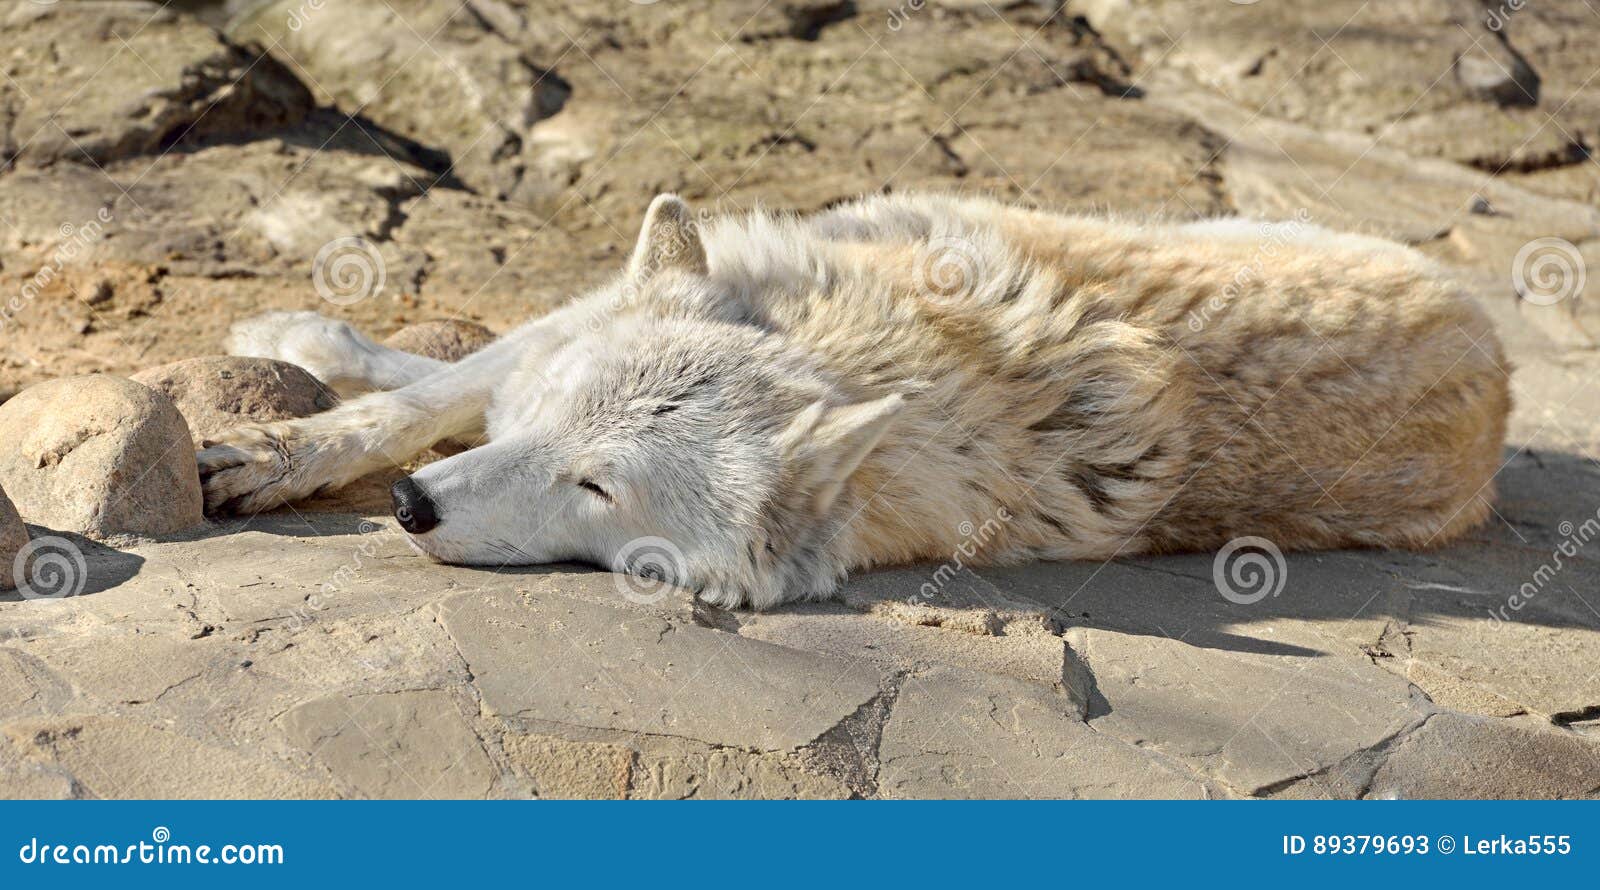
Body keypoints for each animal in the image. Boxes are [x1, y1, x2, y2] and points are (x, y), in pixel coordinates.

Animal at [200, 193, 1511, 609]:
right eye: (549, 430)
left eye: (596, 485)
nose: (411, 508)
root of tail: (1501, 363)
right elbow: (424, 402)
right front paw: (274, 443)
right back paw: (303, 336)